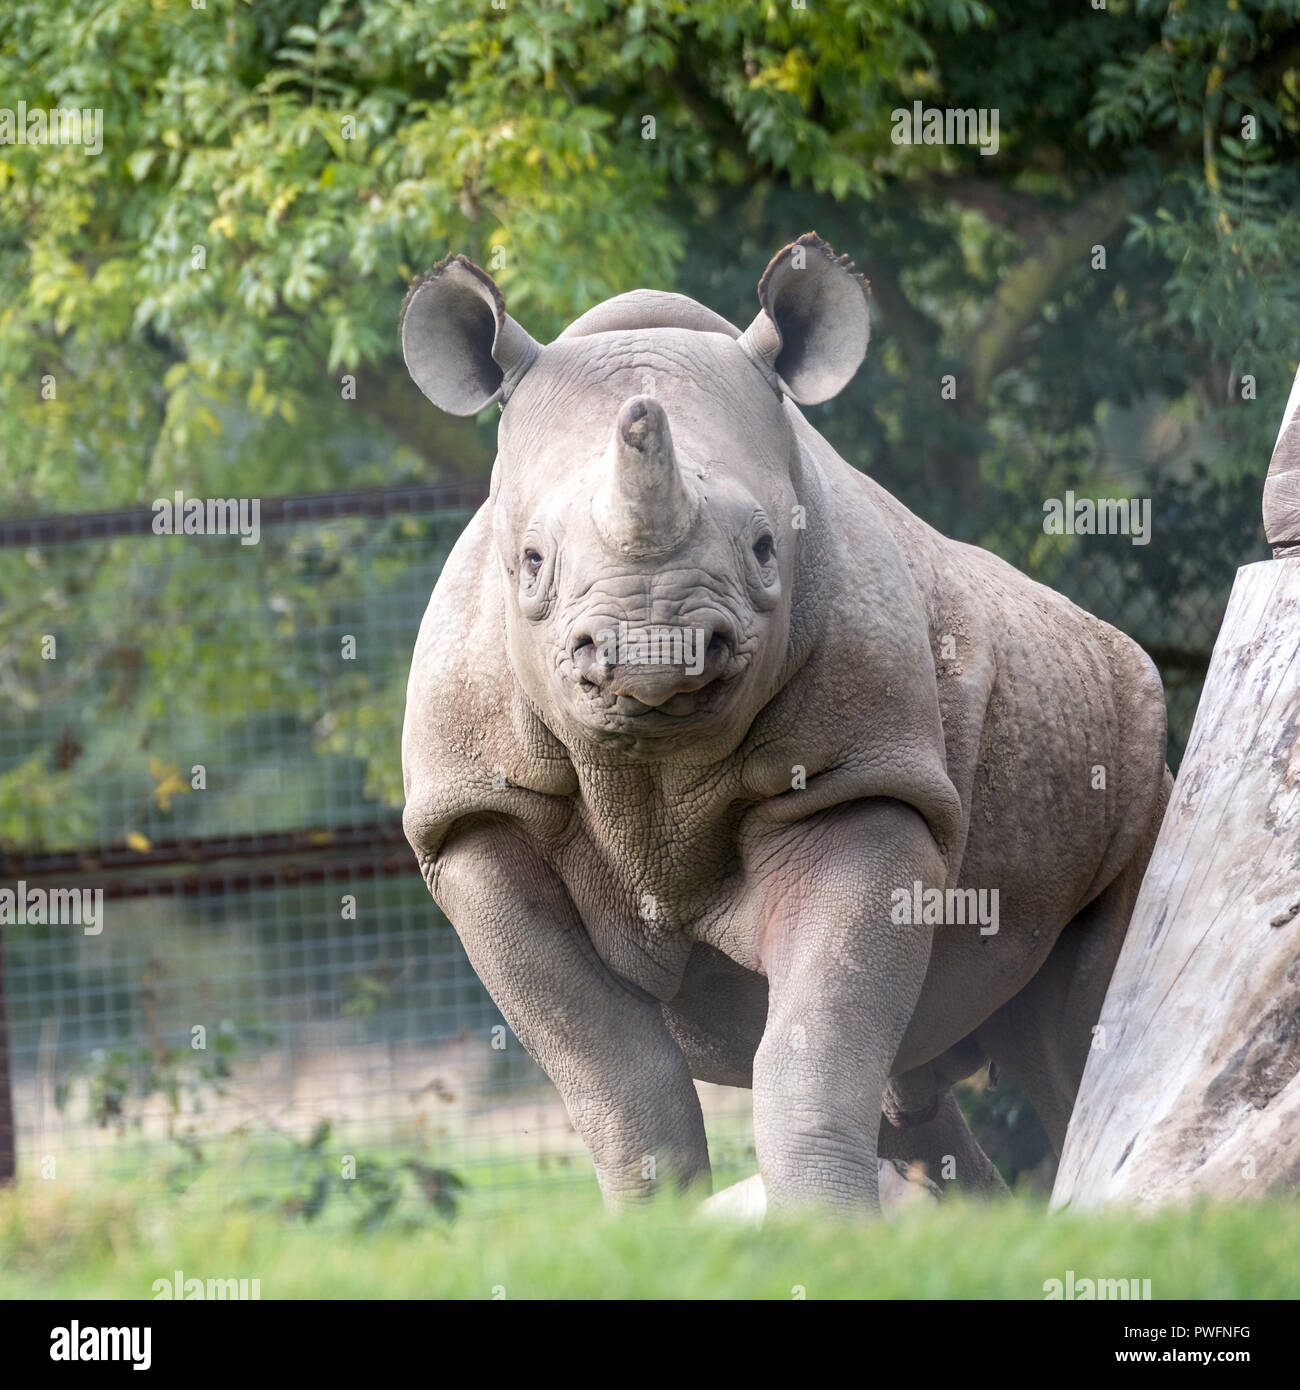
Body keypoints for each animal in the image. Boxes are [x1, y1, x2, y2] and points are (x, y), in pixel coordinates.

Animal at [399, 234, 1171, 1213]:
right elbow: (620, 1080)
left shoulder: (866, 781)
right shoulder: (475, 819)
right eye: (531, 561)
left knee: (1077, 1036)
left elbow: (813, 1048)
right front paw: (662, 1227)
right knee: (923, 1084)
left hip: (1136, 762)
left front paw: (826, 1230)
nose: (654, 653)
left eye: (767, 549)